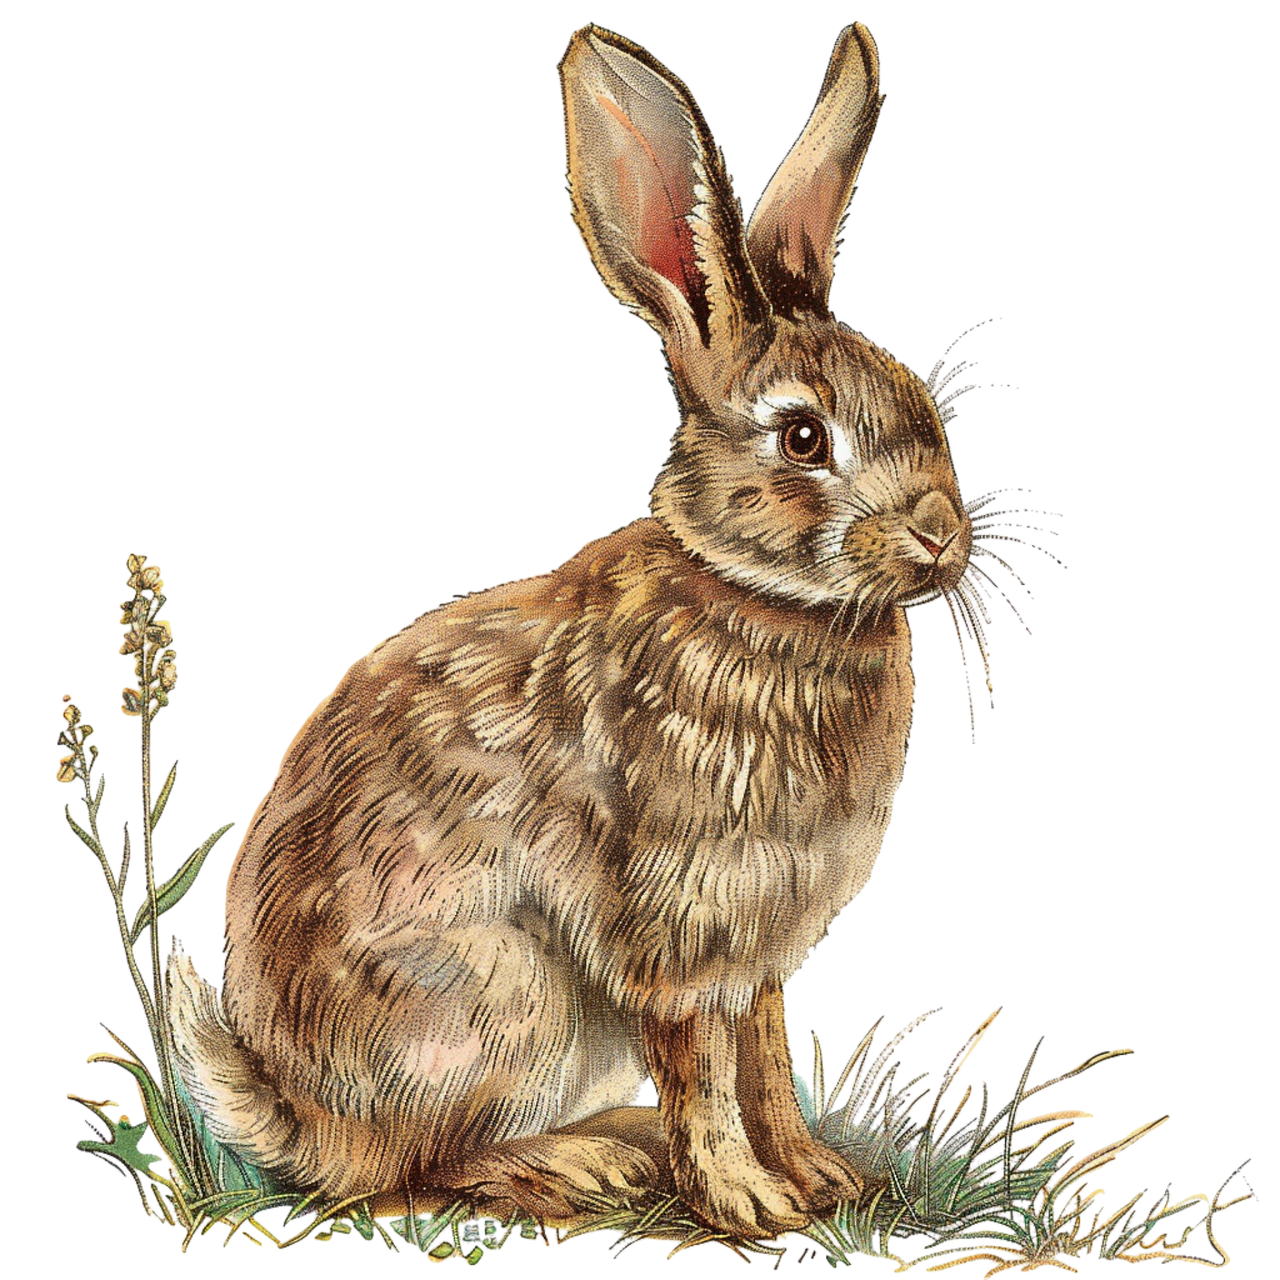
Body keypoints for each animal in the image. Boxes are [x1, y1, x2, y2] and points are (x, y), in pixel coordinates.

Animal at [166, 19, 980, 1240]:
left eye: (924, 407)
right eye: (802, 437)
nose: (942, 535)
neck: (761, 600)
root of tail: (305, 1118)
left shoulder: (757, 951)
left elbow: (762, 1051)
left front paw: (820, 1179)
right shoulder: (674, 925)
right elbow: (703, 1067)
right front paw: (744, 1198)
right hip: (506, 994)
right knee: (411, 1173)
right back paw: (577, 1167)